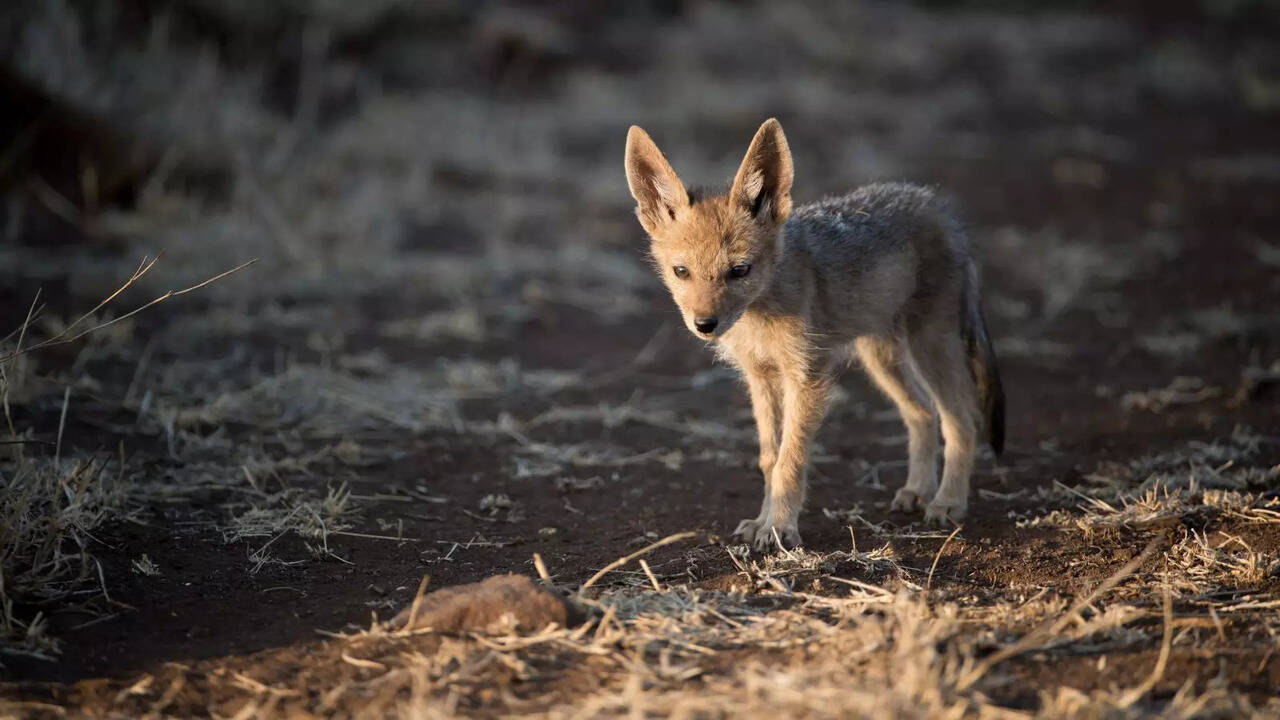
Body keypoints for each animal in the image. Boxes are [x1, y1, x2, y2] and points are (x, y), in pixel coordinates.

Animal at [623, 118, 1004, 551]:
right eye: (681, 272)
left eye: (739, 270)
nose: (704, 324)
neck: (760, 313)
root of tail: (937, 205)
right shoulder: (761, 378)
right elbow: (770, 459)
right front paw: (762, 521)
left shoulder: (807, 380)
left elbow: (790, 460)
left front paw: (779, 529)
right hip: (880, 359)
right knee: (923, 412)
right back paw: (918, 491)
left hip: (929, 348)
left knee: (961, 420)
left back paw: (948, 501)